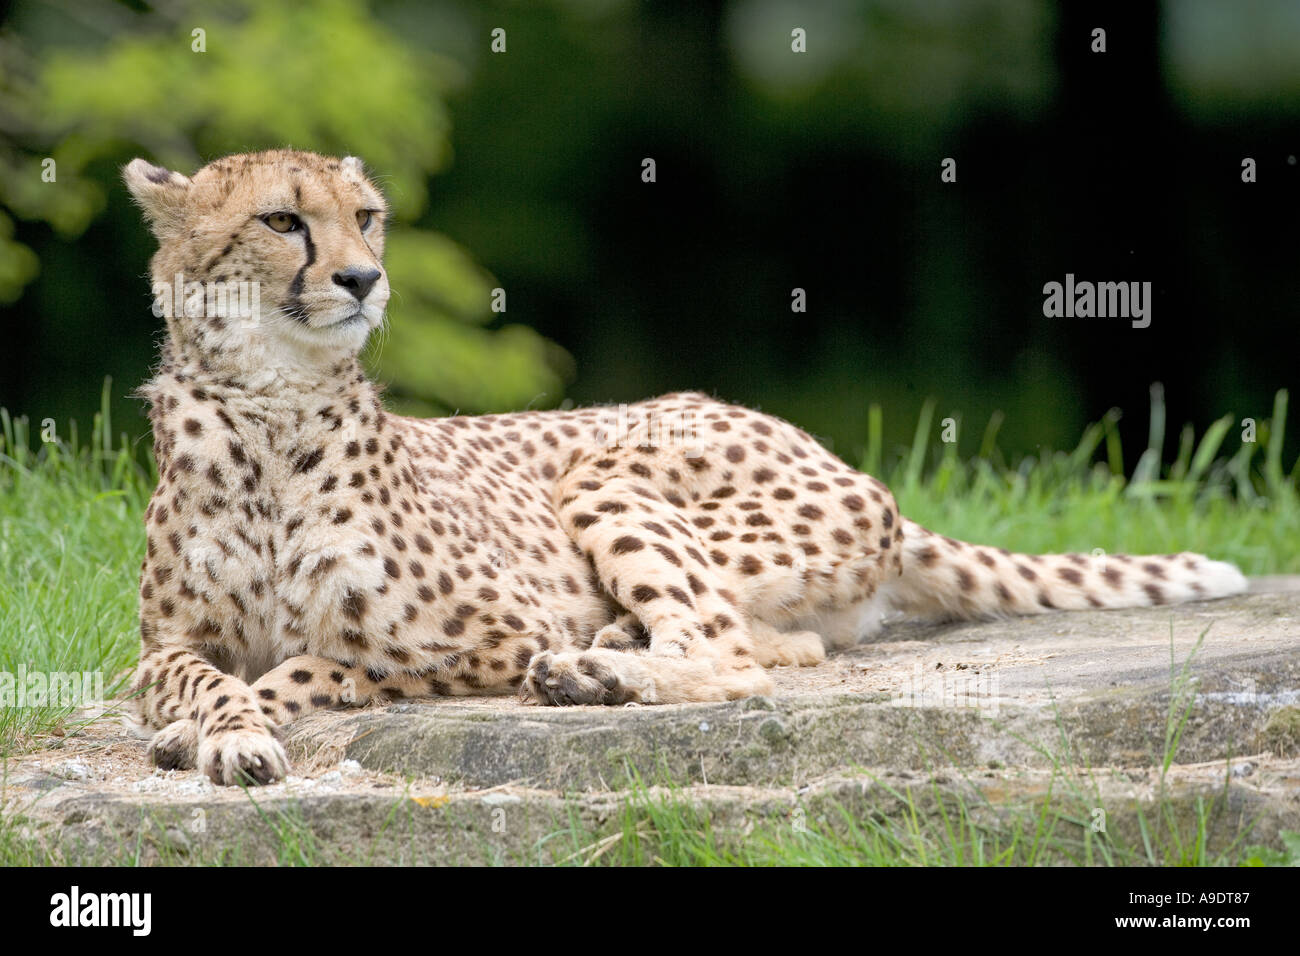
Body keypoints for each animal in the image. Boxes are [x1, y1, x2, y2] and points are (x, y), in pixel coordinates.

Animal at [122, 149, 1248, 785]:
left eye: (367, 216)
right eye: (282, 220)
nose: (364, 278)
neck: (271, 408)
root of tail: (851, 467)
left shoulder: (491, 632)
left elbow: (324, 662)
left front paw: (238, 722)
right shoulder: (163, 641)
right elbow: (188, 674)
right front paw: (216, 726)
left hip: (608, 473)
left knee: (735, 653)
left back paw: (597, 670)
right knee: (784, 645)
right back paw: (610, 648)